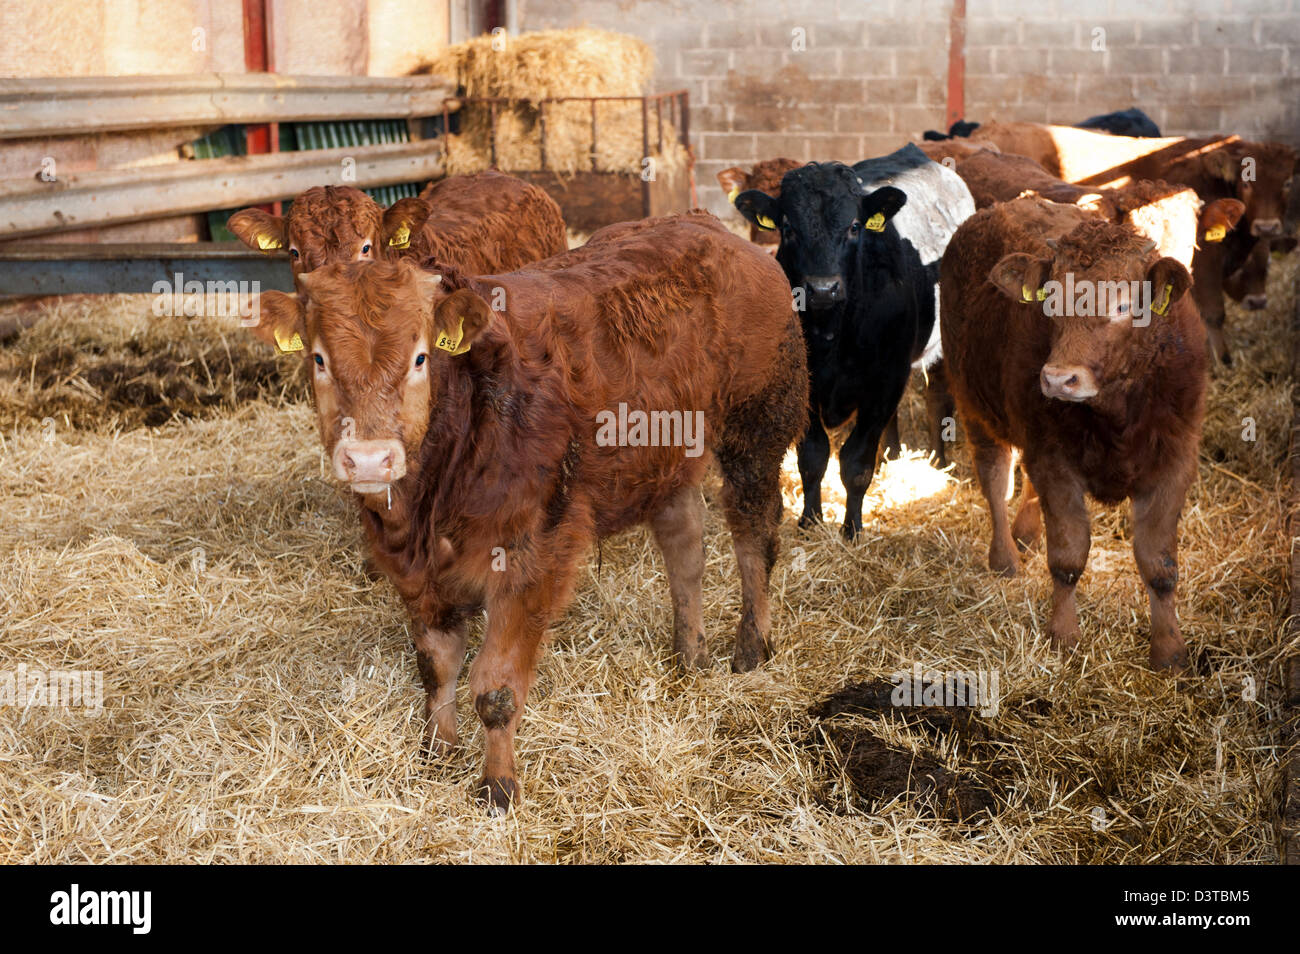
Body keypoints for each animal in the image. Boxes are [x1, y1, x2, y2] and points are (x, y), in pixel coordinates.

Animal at [244, 211, 809, 809]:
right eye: (319, 359)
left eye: (421, 357)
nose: (370, 458)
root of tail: (717, 229)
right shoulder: (417, 575)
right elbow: (436, 665)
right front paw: (437, 750)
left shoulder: (532, 556)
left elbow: (495, 686)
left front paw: (497, 785)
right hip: (667, 459)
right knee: (686, 548)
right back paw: (689, 653)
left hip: (758, 427)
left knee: (754, 535)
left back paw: (751, 647)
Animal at [733, 144, 975, 537]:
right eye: (788, 228)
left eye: (854, 227)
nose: (822, 288)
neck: (831, 331)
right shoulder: (806, 384)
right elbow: (813, 456)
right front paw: (810, 521)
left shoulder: (885, 380)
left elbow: (856, 461)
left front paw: (852, 529)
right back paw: (891, 457)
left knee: (937, 396)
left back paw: (938, 461)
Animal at [940, 197, 1206, 672]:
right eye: (1049, 300)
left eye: (1123, 305)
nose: (1058, 379)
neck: (1116, 413)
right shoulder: (1054, 462)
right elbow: (1067, 556)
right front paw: (1063, 634)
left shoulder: (1174, 462)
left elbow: (1159, 565)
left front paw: (1170, 651)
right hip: (973, 403)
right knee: (996, 479)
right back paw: (1005, 557)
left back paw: (1026, 535)